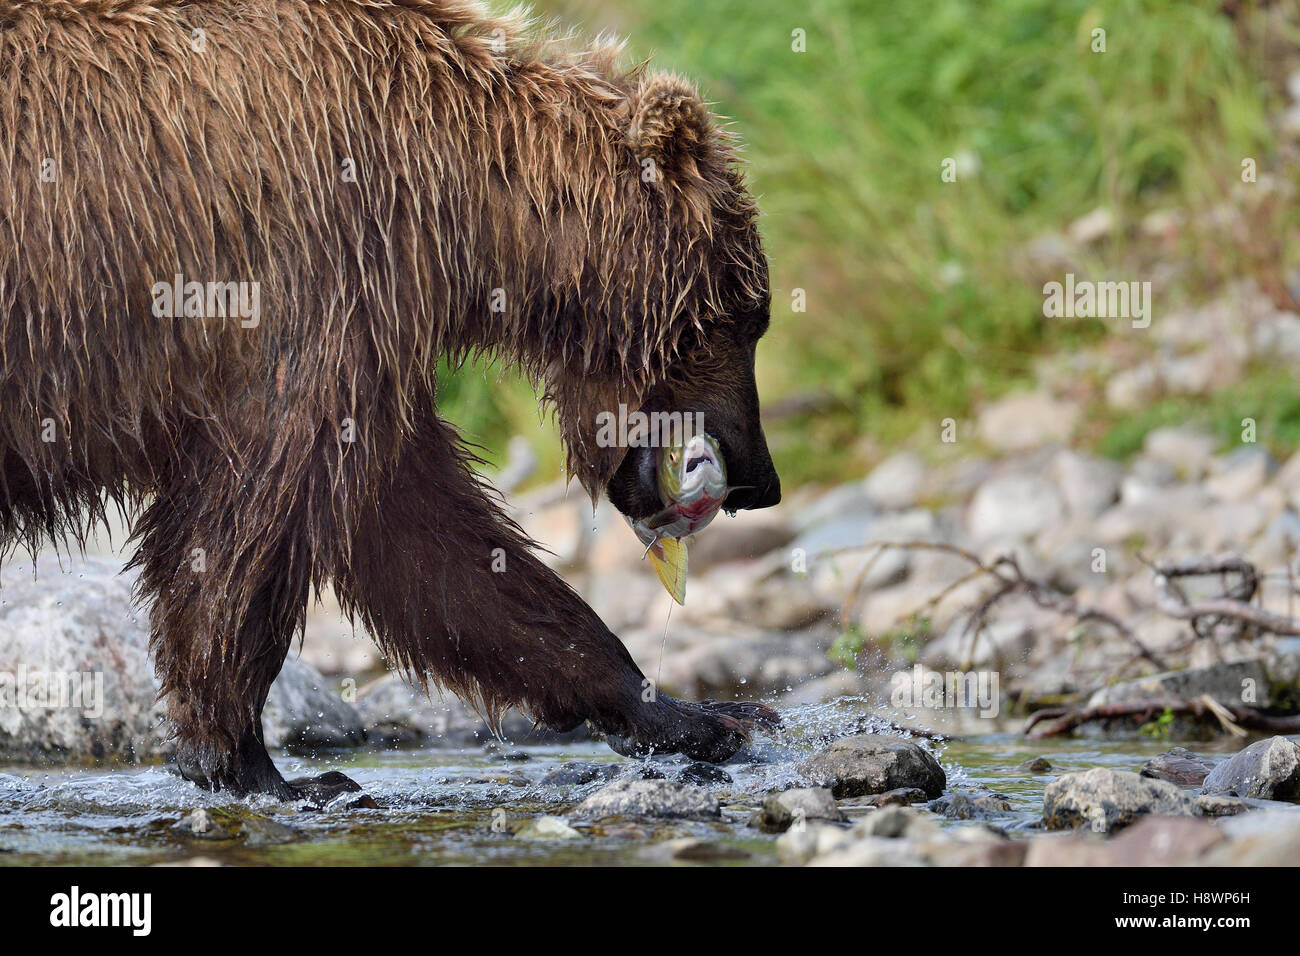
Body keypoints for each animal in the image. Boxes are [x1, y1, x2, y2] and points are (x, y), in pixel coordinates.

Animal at [0, 0, 781, 800]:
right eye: (744, 314)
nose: (761, 480)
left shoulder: (368, 318)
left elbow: (429, 541)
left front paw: (697, 714)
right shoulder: (313, 278)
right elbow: (254, 524)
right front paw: (260, 765)